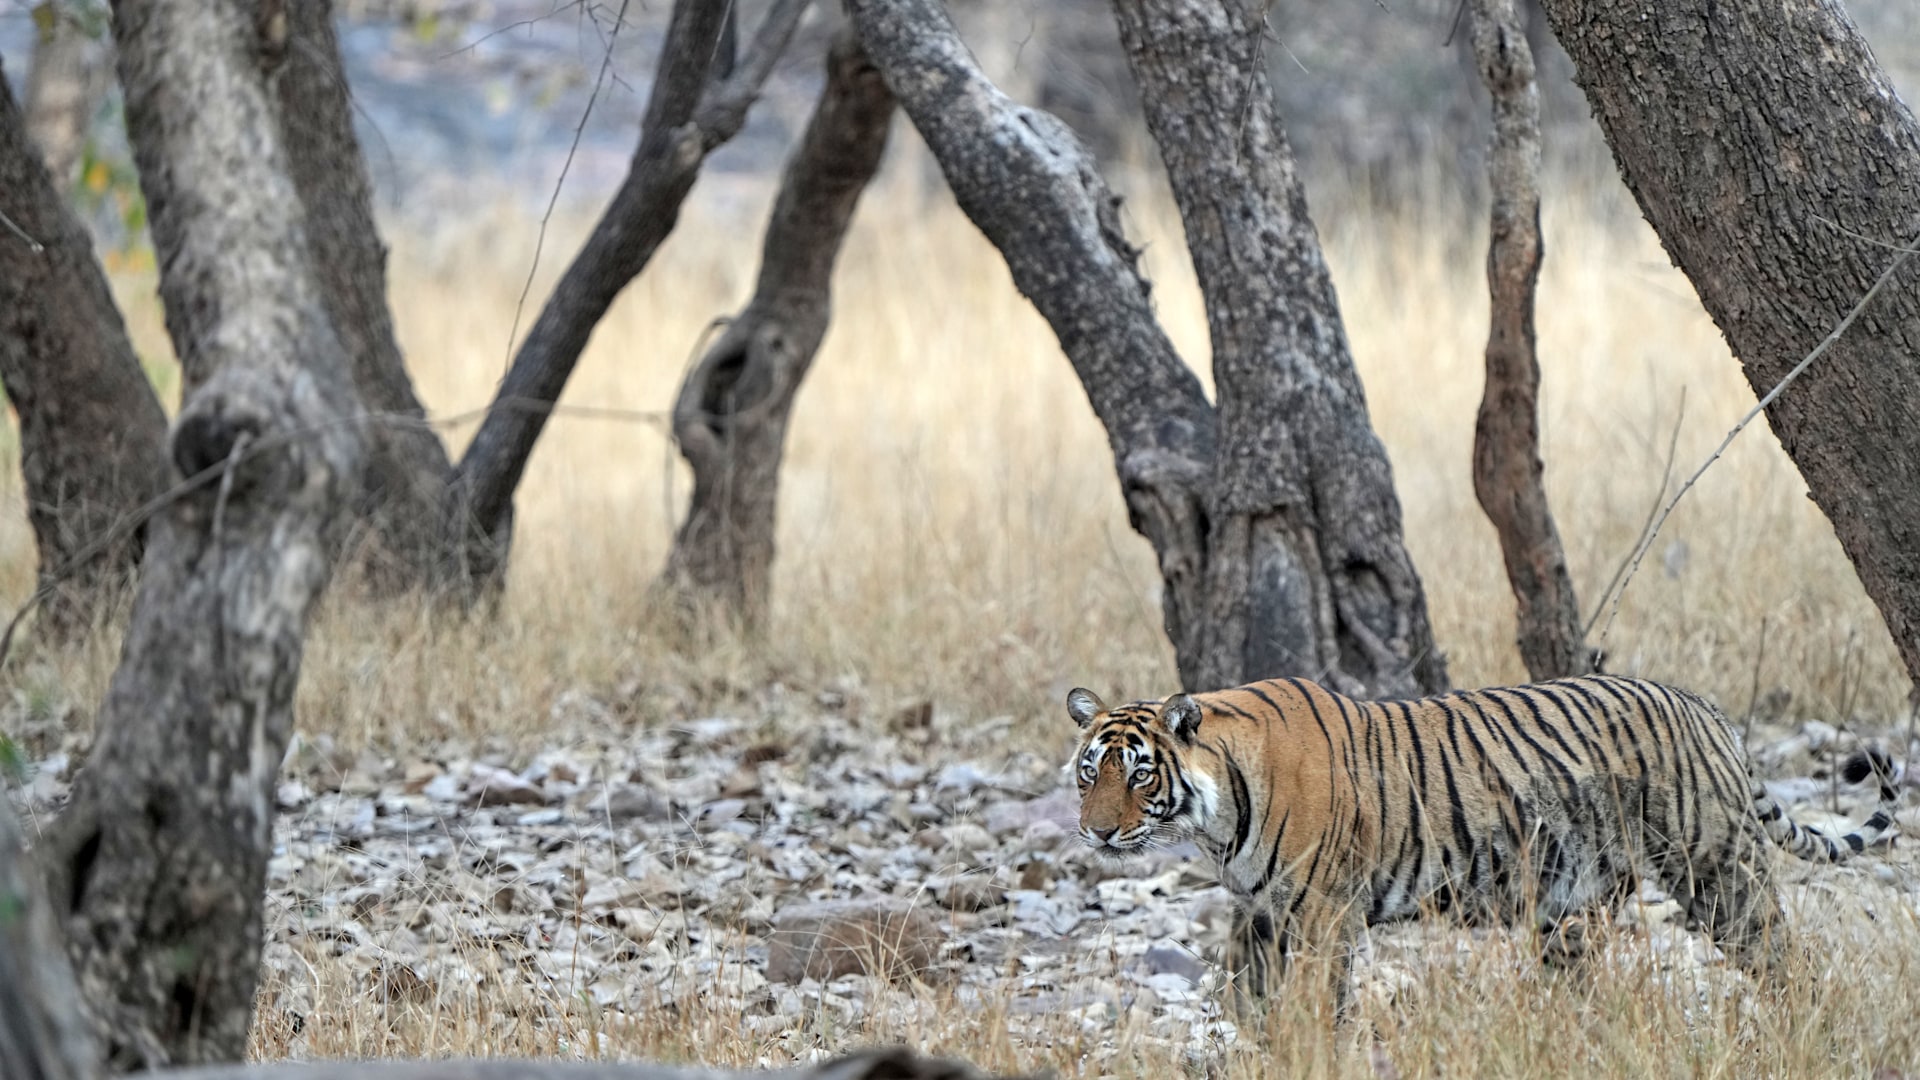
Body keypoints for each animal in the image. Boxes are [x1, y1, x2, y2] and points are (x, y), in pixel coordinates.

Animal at [1066, 674, 1901, 1015]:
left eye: (1139, 775)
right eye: (1088, 771)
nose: (1096, 830)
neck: (1217, 818)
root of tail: (1701, 703)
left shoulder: (1323, 914)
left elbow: (1315, 1002)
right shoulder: (1260, 912)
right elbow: (1243, 997)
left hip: (1717, 868)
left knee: (1787, 960)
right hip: (1571, 908)